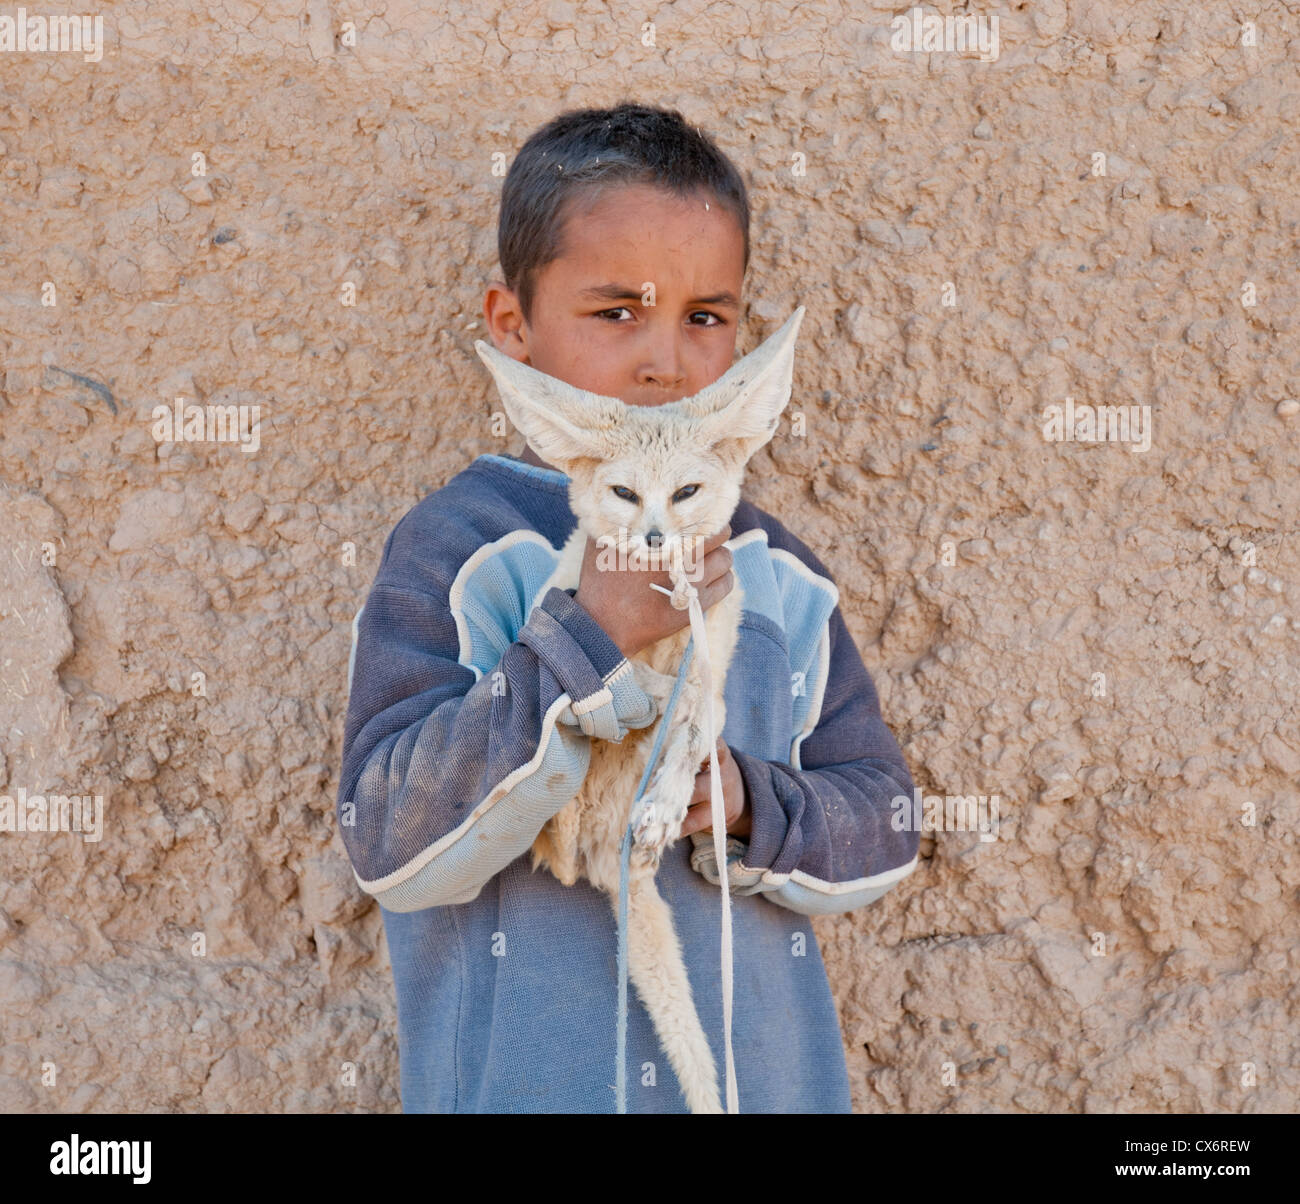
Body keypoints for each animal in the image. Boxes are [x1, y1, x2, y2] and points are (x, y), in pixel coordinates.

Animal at [473, 305, 805, 1114]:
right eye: (625, 494)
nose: (654, 539)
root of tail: (600, 855)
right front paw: (635, 685)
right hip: (559, 811)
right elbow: (637, 682)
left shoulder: (715, 653)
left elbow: (700, 724)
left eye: (685, 492)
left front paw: (667, 803)